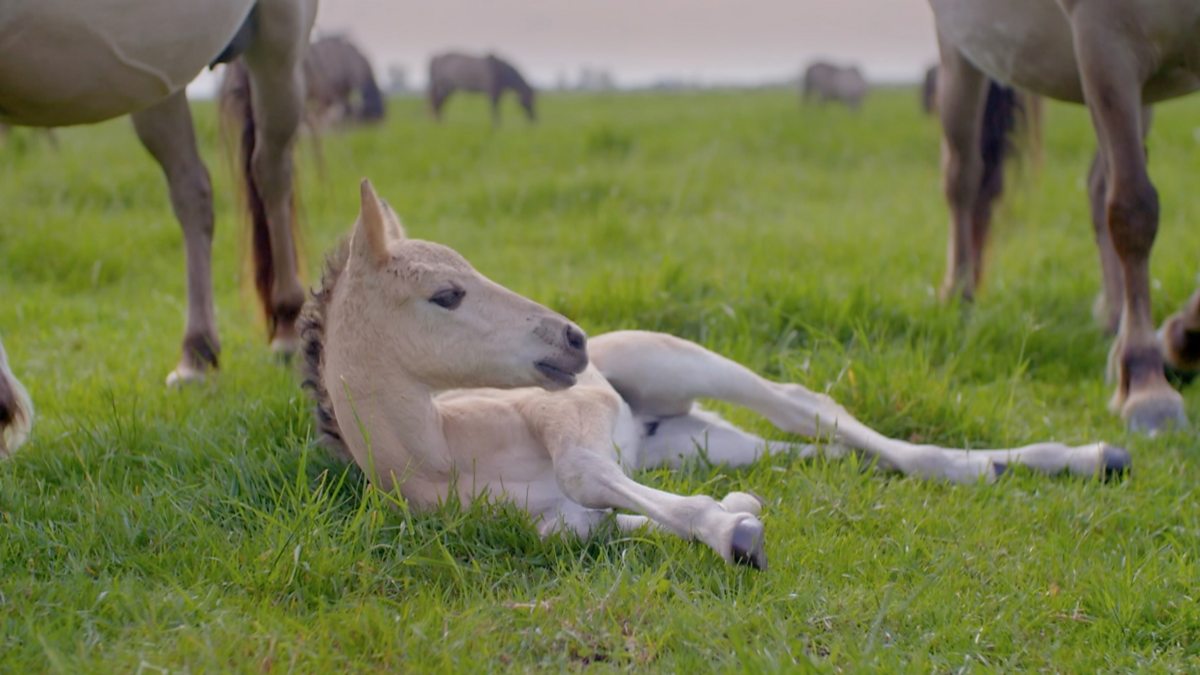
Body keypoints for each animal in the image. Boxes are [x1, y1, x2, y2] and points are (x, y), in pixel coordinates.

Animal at [0, 0, 317, 456]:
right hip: (160, 73)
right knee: (193, 190)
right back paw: (197, 354)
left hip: (281, 41)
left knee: (271, 172)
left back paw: (287, 326)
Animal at [299, 180, 1129, 569]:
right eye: (446, 294)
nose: (572, 339)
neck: (440, 454)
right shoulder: (560, 528)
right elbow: (608, 517)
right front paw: (736, 515)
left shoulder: (567, 414)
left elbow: (583, 471)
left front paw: (737, 531)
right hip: (691, 440)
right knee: (822, 449)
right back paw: (1055, 460)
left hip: (678, 361)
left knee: (809, 407)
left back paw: (1045, 460)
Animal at [930, 0, 1200, 433]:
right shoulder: (1104, 42)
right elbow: (1133, 211)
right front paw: (1147, 386)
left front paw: (1179, 339)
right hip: (960, 53)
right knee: (963, 175)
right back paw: (958, 295)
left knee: (1097, 185)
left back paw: (1114, 322)